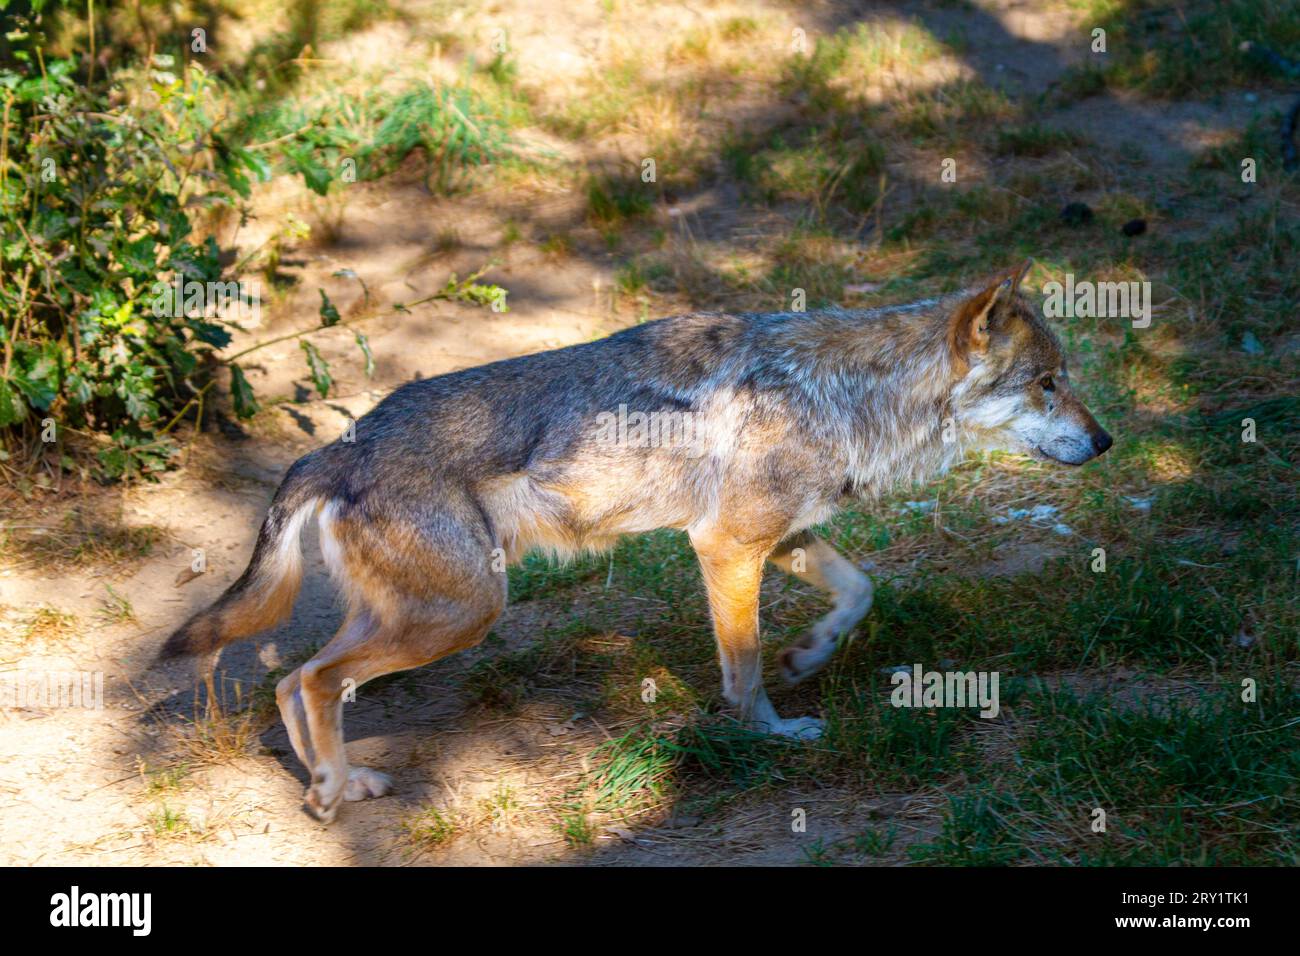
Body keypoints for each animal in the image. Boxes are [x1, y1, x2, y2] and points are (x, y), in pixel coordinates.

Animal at [159, 259, 1111, 823]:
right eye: (1047, 384)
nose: (1106, 442)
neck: (846, 392)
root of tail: (338, 444)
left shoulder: (781, 537)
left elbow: (860, 593)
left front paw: (809, 657)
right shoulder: (727, 546)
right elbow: (743, 669)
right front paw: (770, 732)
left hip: (426, 614)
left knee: (290, 680)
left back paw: (340, 783)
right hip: (465, 612)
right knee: (314, 680)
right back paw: (328, 793)